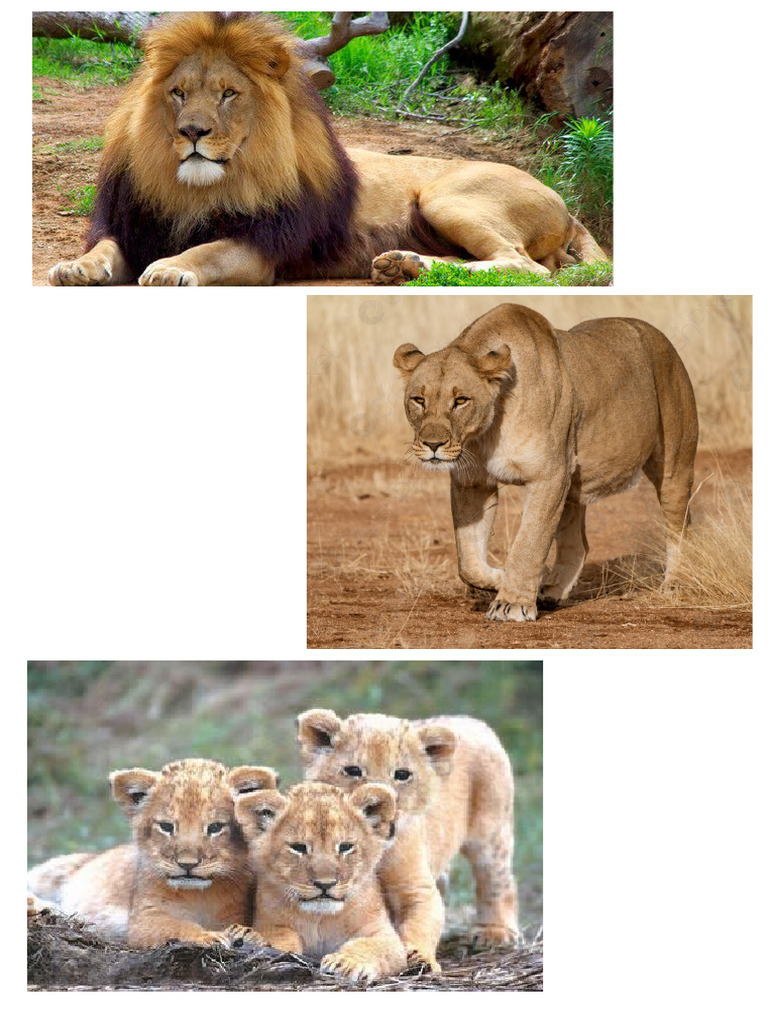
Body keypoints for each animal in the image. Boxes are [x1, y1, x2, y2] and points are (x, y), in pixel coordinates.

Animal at [27, 759, 278, 948]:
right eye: (166, 826)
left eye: (215, 827)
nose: (187, 865)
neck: (200, 895)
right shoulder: (145, 918)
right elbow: (178, 925)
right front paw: (207, 936)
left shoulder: (236, 912)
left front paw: (246, 936)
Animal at [48, 11, 606, 288]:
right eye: (178, 93)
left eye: (229, 93)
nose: (191, 132)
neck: (194, 190)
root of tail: (566, 206)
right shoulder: (134, 222)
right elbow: (106, 247)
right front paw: (77, 267)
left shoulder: (262, 248)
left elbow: (207, 249)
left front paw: (170, 267)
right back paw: (401, 265)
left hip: (447, 198)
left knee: (525, 267)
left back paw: (408, 265)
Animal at [234, 780, 406, 984]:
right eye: (298, 847)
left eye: (345, 847)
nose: (325, 884)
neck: (320, 918)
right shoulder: (270, 923)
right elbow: (280, 935)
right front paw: (259, 943)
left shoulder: (383, 934)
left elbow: (369, 946)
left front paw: (345, 963)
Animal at [297, 710, 519, 972]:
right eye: (353, 770)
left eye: (402, 774)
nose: (379, 804)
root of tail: (471, 720)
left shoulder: (416, 887)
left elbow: (422, 923)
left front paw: (420, 959)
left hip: (491, 834)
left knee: (498, 881)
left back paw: (494, 932)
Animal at [393, 303, 699, 622]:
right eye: (418, 400)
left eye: (461, 400)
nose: (433, 445)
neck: (486, 430)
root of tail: (659, 336)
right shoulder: (472, 482)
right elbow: (468, 559)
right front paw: (500, 578)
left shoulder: (549, 475)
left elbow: (529, 542)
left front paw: (512, 603)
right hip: (574, 486)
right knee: (578, 544)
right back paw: (550, 591)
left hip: (675, 465)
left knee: (680, 525)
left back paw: (677, 582)